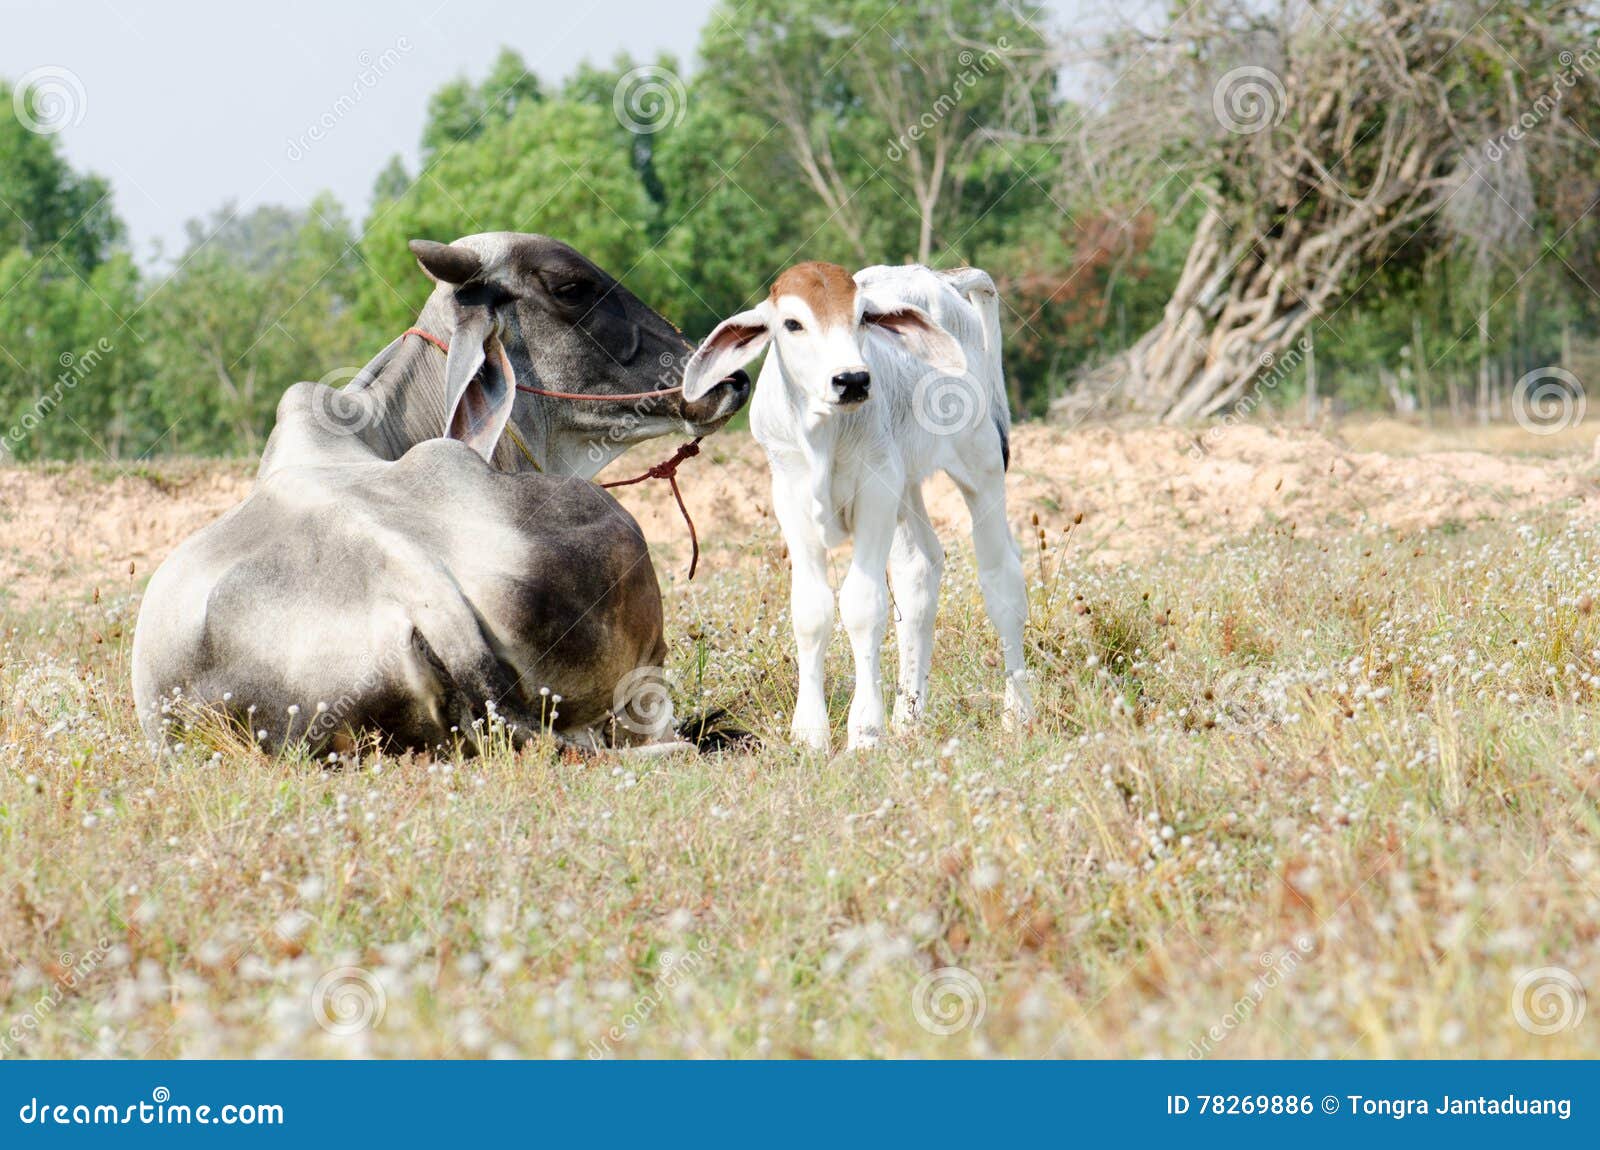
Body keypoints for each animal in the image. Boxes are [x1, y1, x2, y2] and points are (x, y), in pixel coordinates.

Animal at [679, 261, 1031, 753]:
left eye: (863, 317)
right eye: (792, 323)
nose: (852, 380)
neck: (823, 433)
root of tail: (941, 279)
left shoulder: (877, 490)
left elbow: (863, 606)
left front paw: (865, 730)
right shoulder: (789, 494)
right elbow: (812, 610)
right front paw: (809, 732)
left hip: (980, 464)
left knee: (1002, 580)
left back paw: (1017, 714)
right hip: (907, 488)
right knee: (919, 569)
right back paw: (908, 717)